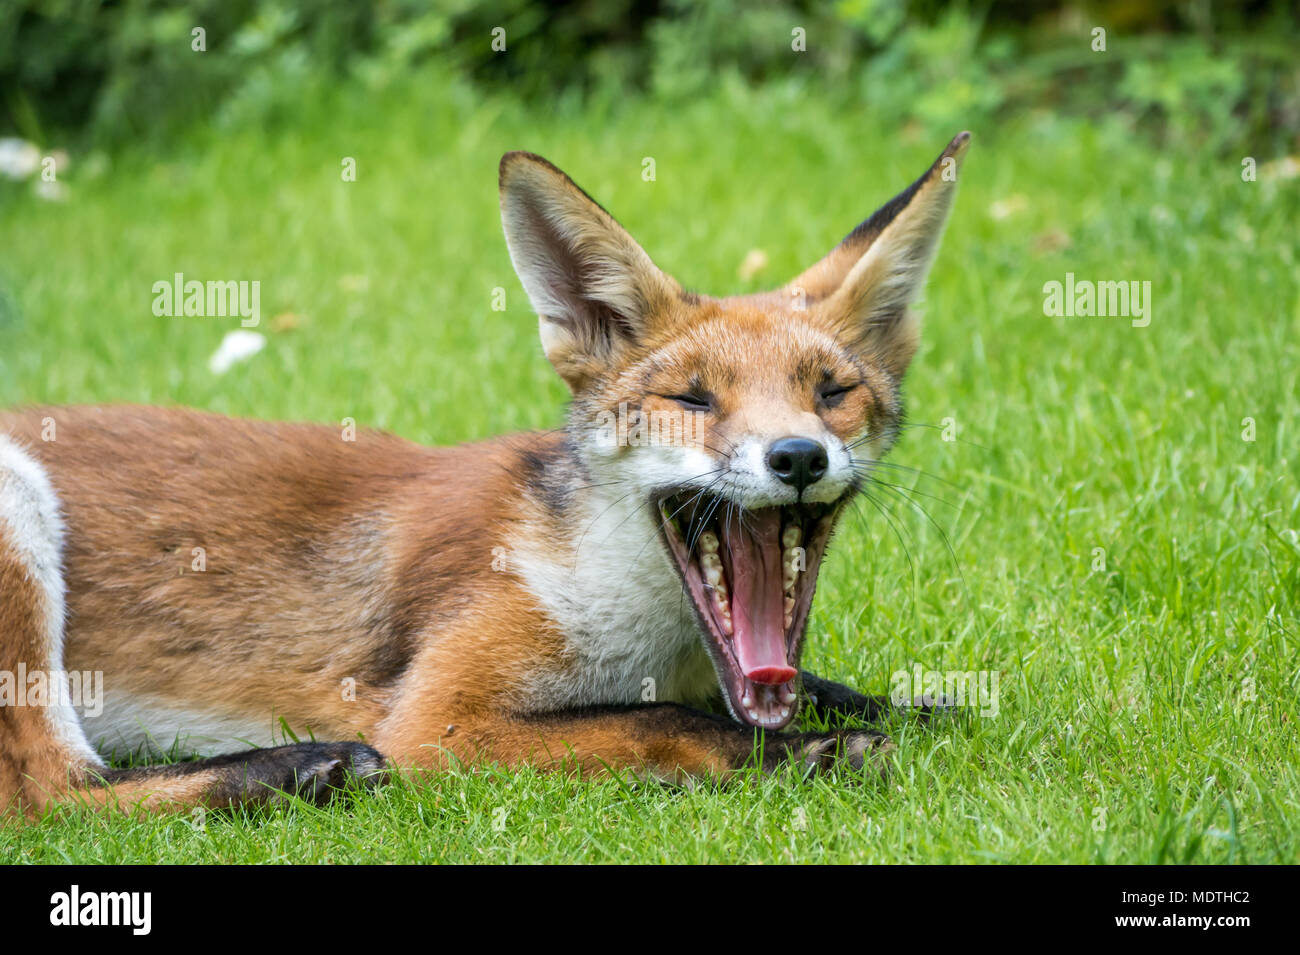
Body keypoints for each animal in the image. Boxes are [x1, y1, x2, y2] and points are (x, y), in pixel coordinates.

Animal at [0, 132, 970, 818]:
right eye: (691, 398)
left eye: (832, 391)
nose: (798, 456)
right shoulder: (440, 721)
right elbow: (656, 723)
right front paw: (800, 753)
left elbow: (826, 689)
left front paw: (920, 711)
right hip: (20, 509)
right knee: (52, 797)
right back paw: (299, 767)